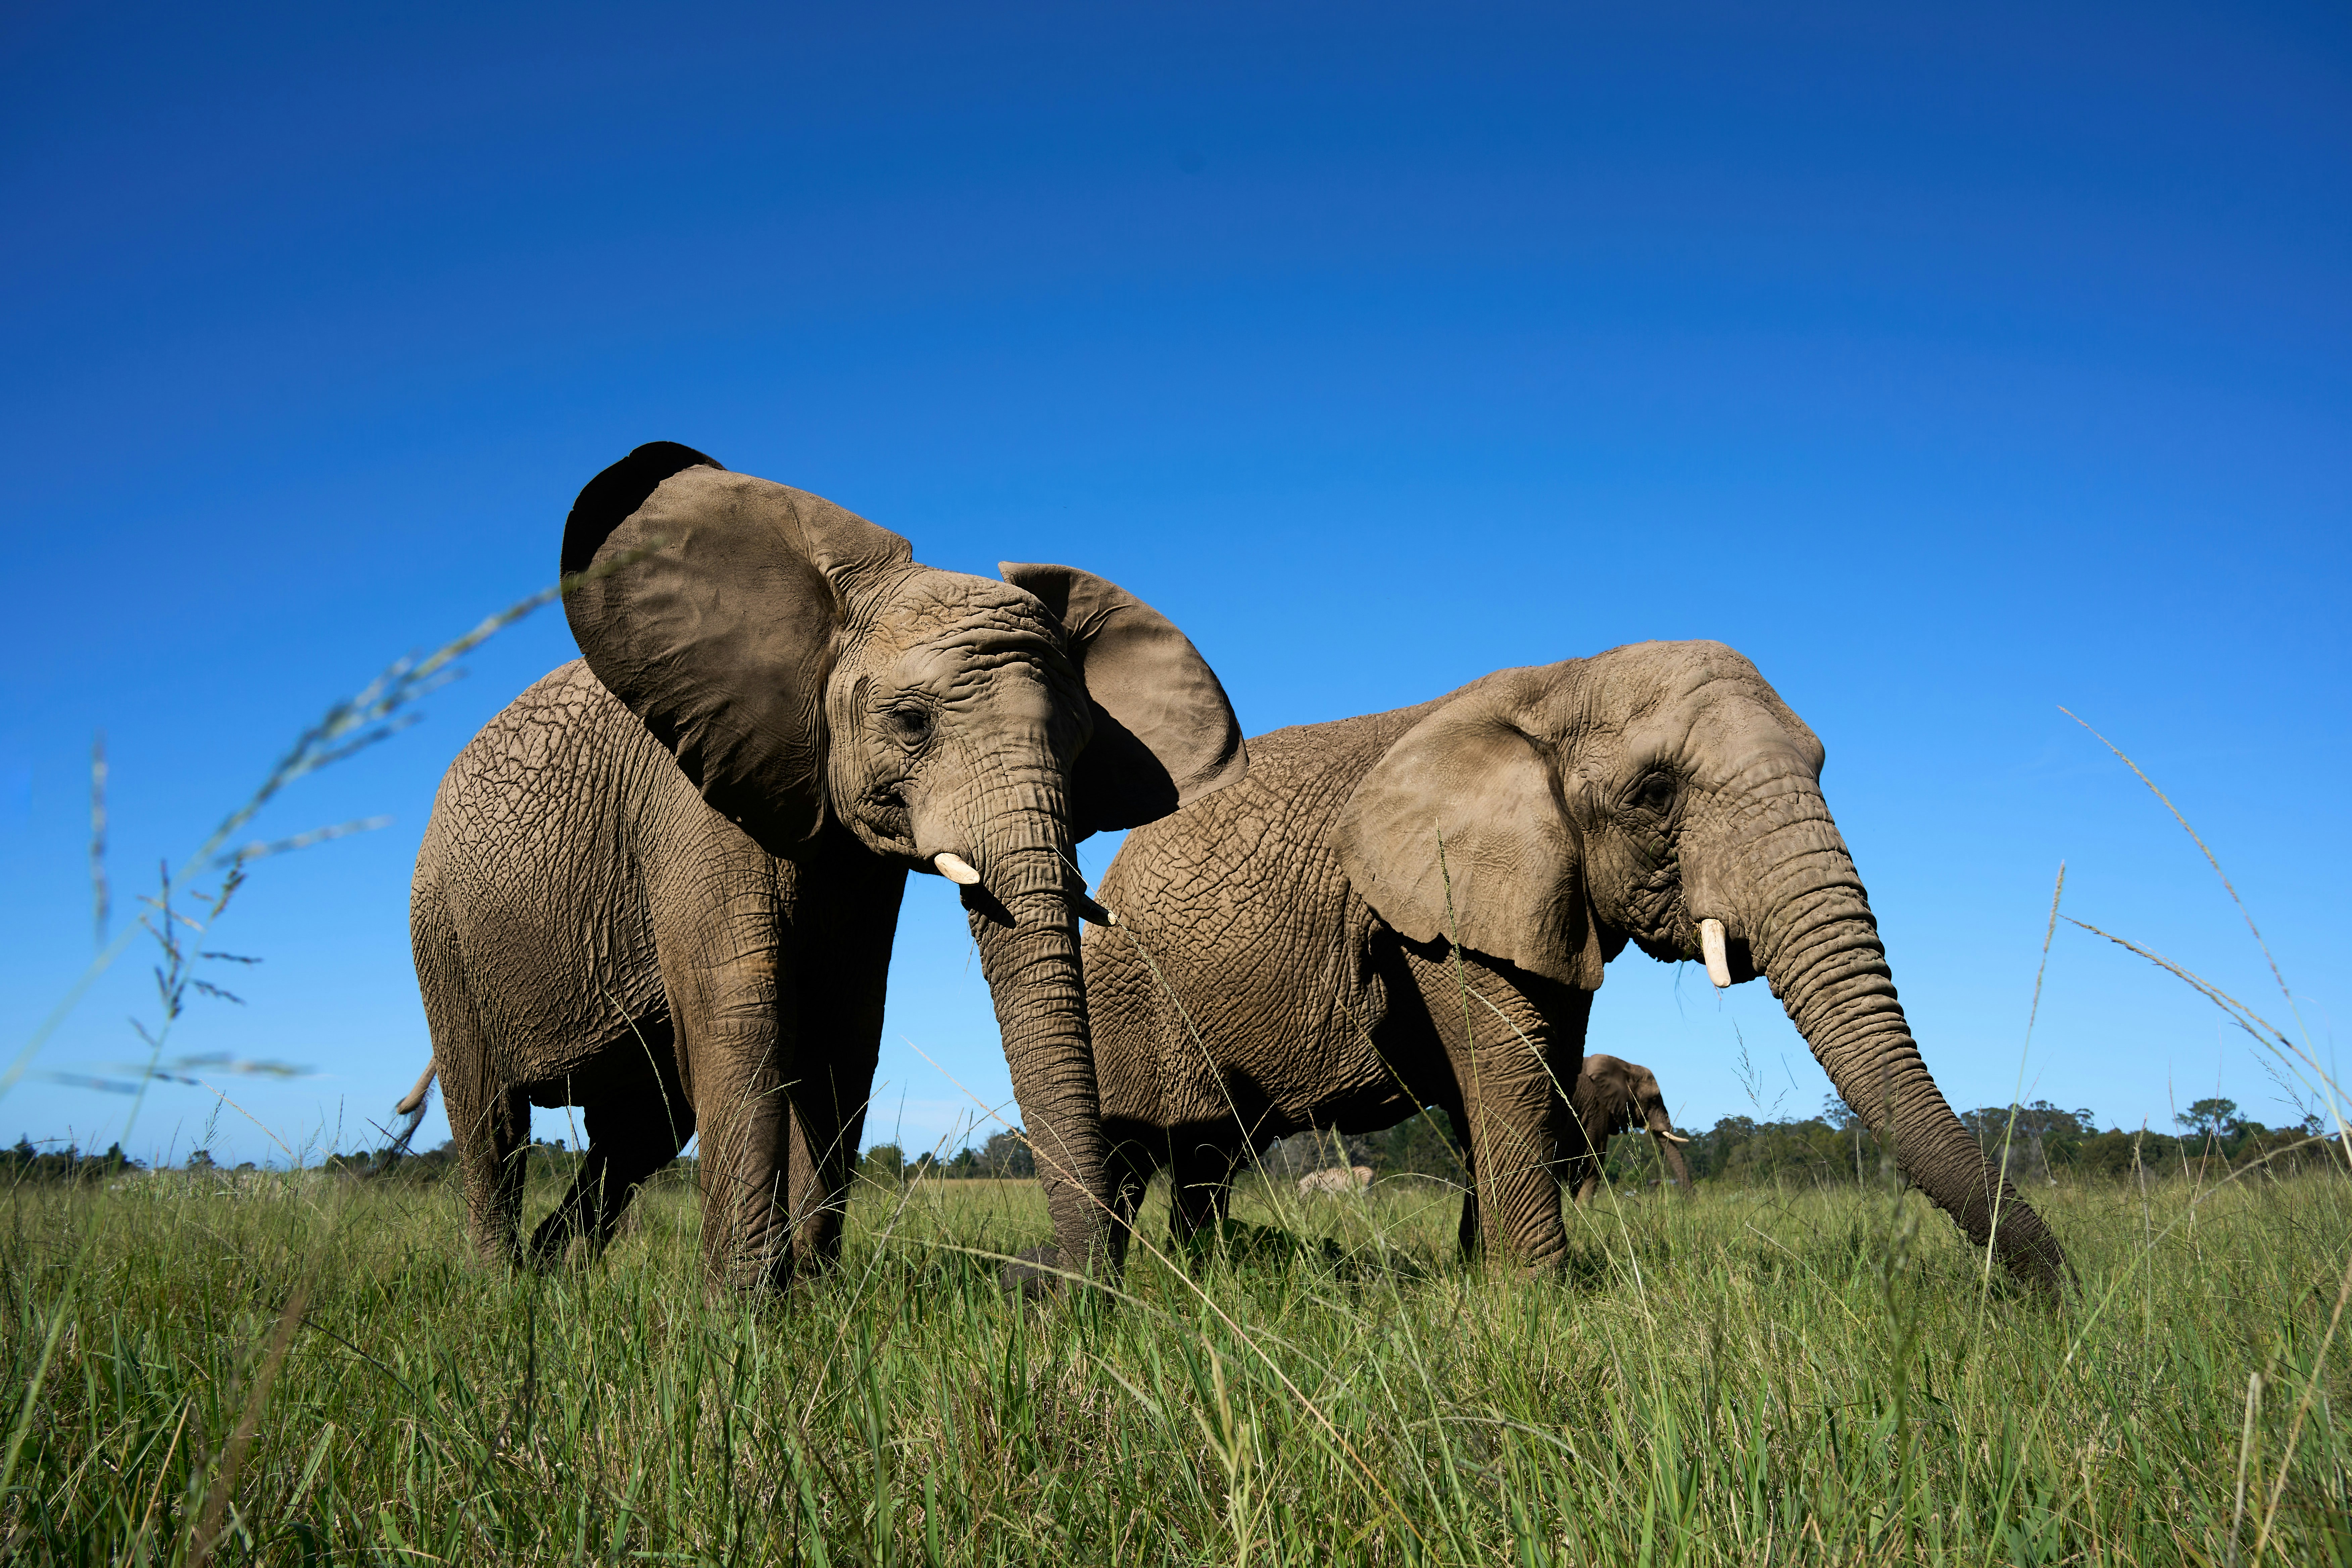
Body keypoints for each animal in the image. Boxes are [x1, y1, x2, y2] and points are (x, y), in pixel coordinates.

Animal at [403, 441, 1246, 1290]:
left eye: (1080, 748)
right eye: (910, 722)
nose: (1041, 1276)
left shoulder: (850, 852)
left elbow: (844, 1028)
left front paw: (812, 1293)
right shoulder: (692, 795)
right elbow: (742, 1011)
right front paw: (744, 1312)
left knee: (638, 1132)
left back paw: (556, 1281)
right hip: (440, 929)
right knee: (491, 1119)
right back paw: (502, 1289)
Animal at [1561, 1054, 1690, 1204]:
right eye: (1653, 1099)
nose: (1689, 1199)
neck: (1626, 1067)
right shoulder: (1596, 1107)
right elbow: (1591, 1162)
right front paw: (1583, 1209)